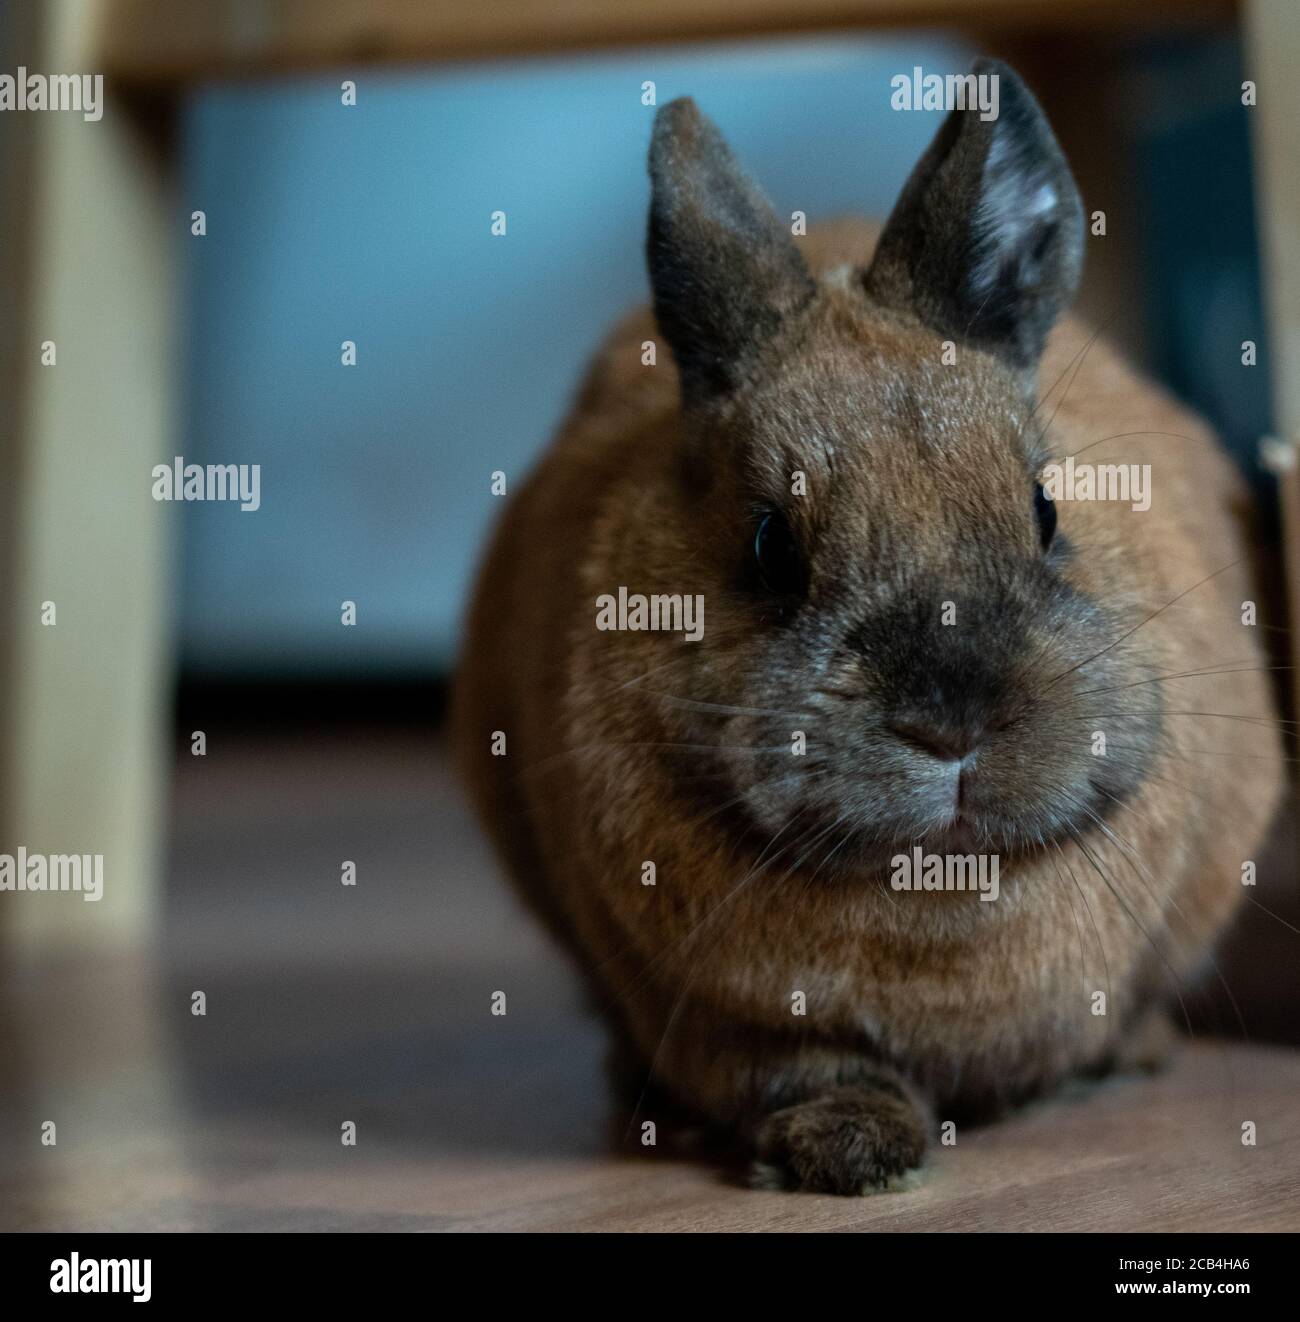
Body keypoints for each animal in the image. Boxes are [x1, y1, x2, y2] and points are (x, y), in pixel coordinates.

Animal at [452, 58, 1285, 1194]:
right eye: (771, 544)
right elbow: (806, 1069)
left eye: (1045, 508)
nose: (953, 721)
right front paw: (846, 1153)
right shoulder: (729, 1025)